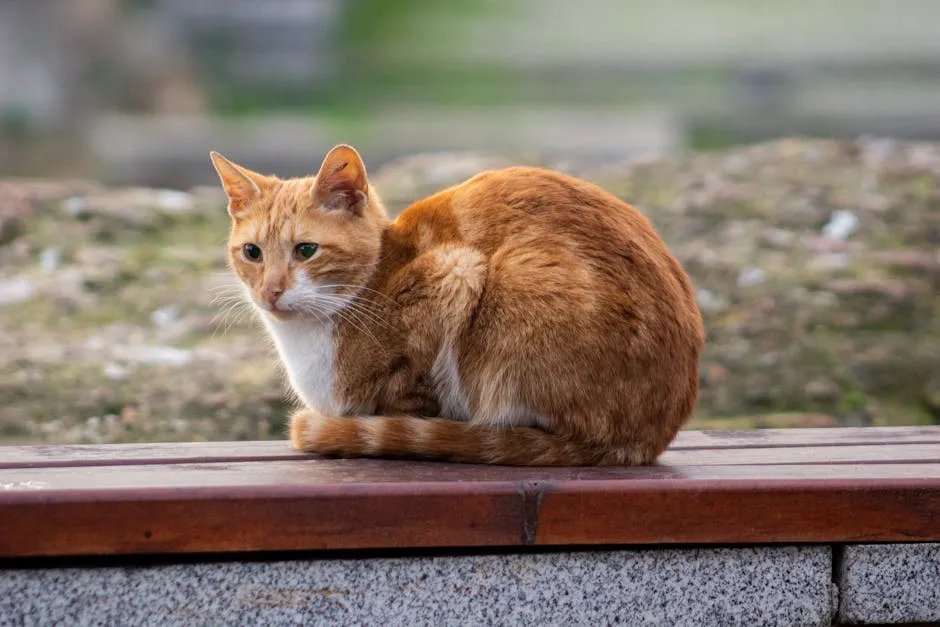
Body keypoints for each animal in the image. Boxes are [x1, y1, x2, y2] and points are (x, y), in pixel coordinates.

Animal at [209, 145, 700, 464]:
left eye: (306, 250)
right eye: (252, 252)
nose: (270, 292)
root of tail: (646, 438)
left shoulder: (454, 270)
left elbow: (407, 395)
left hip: (515, 283)